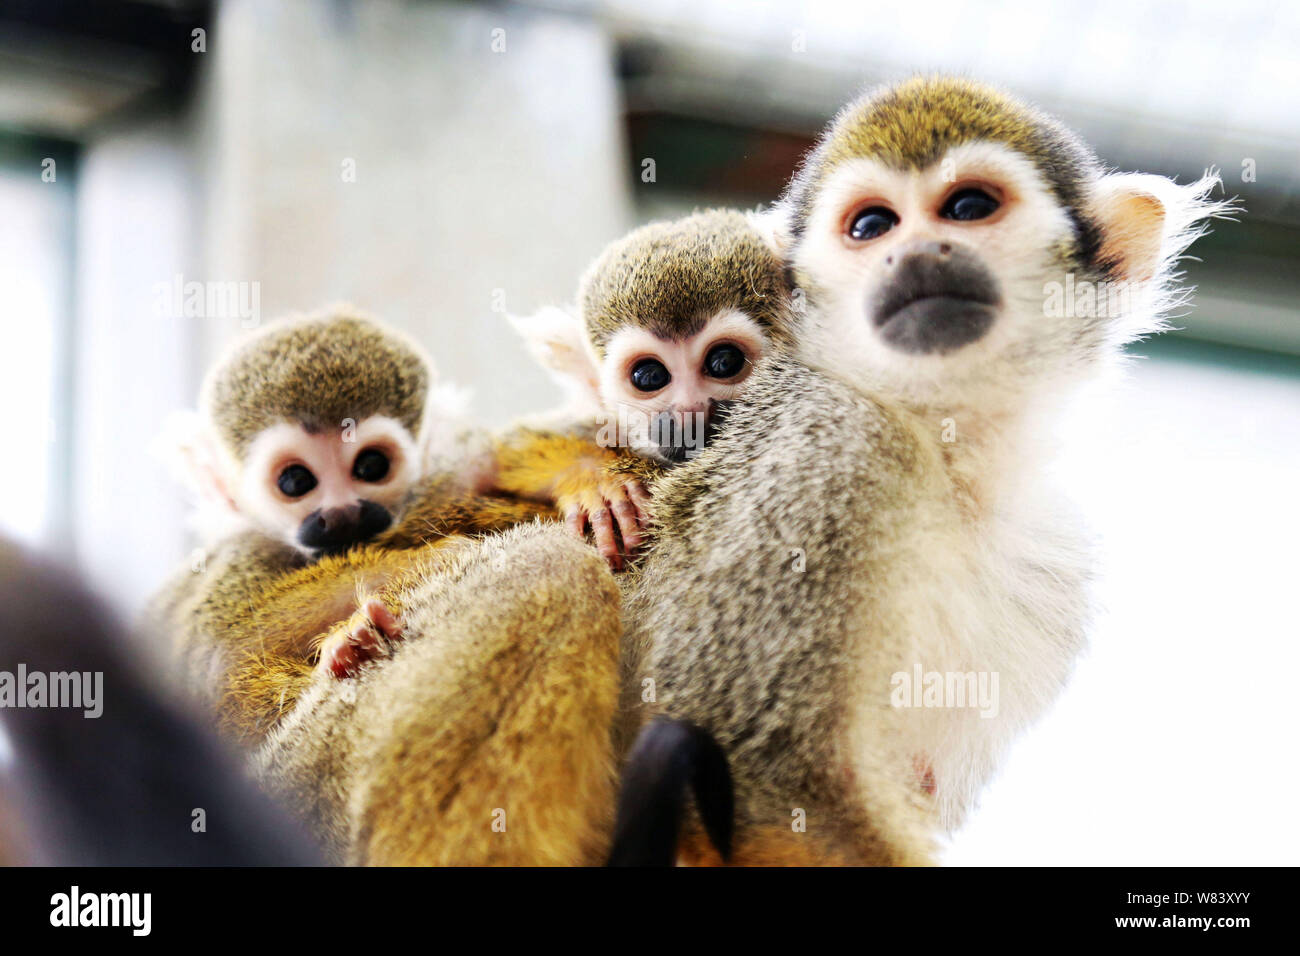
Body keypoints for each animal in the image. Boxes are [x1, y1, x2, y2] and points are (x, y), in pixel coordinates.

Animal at [612, 76, 1229, 865]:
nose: (912, 254)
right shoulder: (827, 448)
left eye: (968, 208)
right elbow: (752, 760)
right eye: (873, 224)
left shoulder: (1056, 568)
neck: (946, 454)